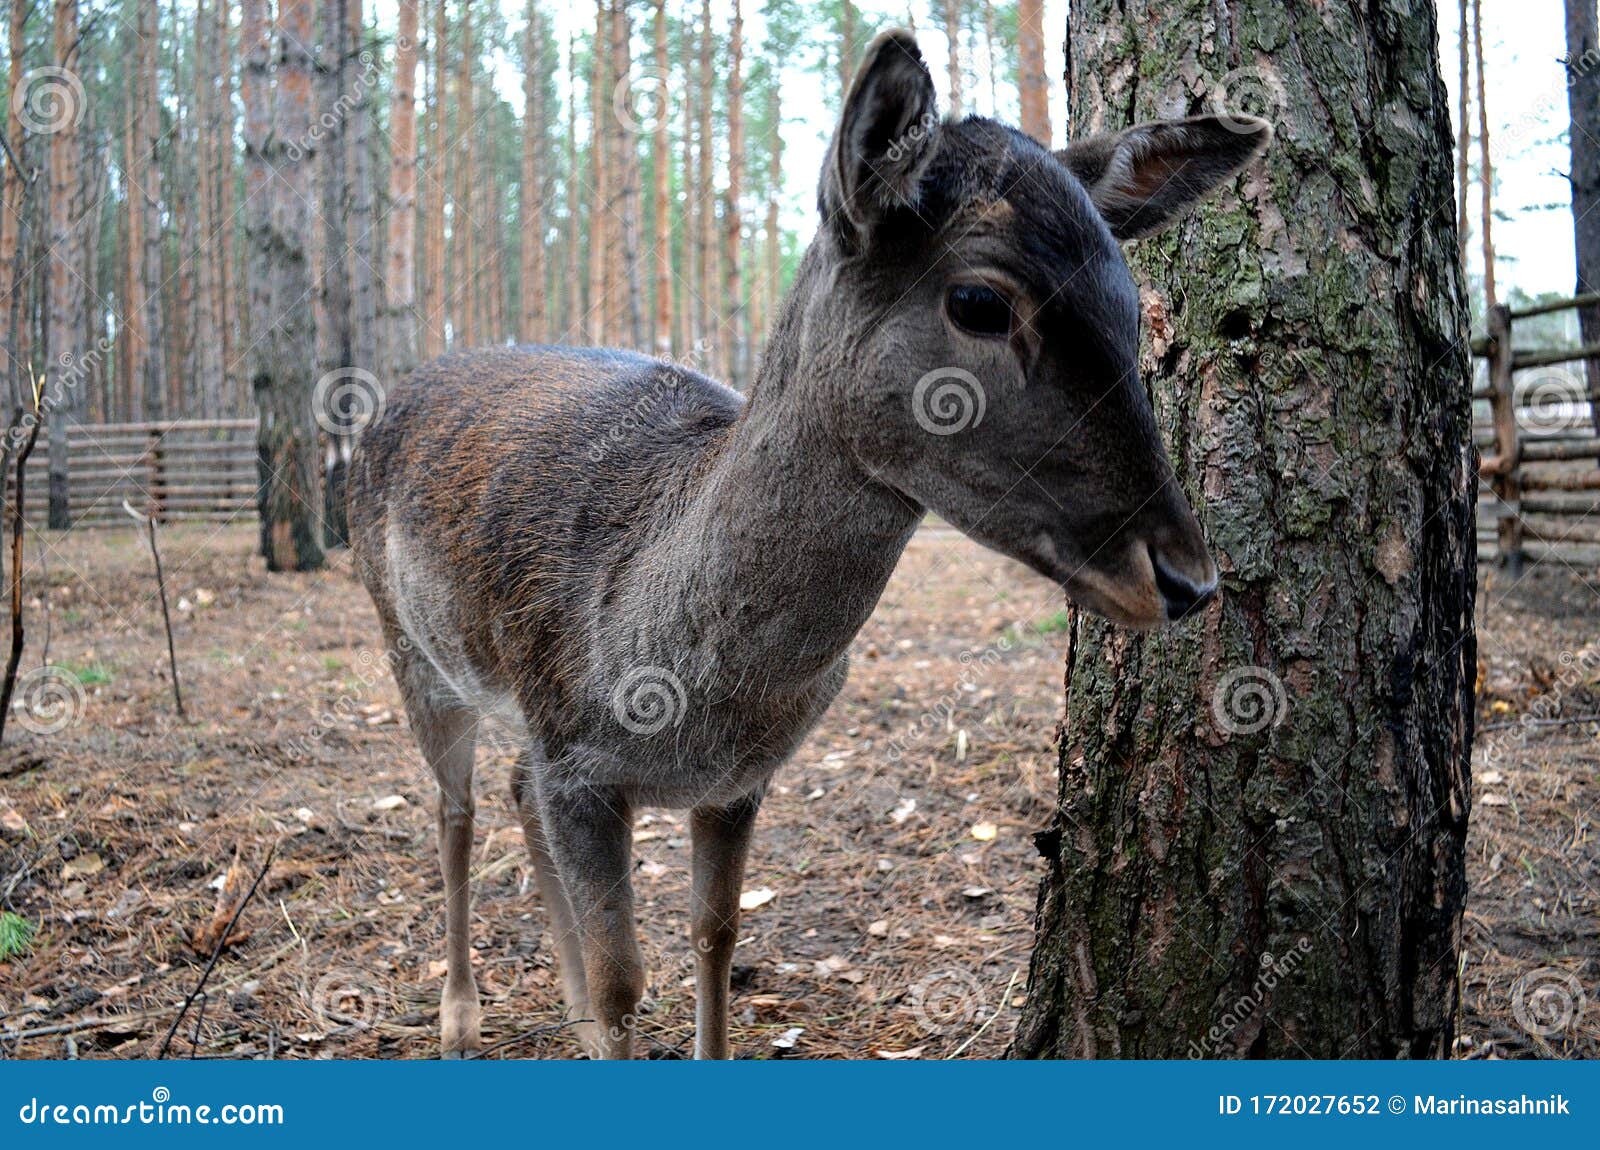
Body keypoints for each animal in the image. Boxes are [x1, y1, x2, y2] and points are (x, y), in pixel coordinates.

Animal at [347, 29, 1270, 1059]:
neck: (675, 672)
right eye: (980, 302)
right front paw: (602, 1007)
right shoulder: (578, 762)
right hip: (407, 641)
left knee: (510, 787)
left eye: (1129, 296)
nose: (1187, 576)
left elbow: (715, 936)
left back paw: (566, 1006)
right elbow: (630, 981)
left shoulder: (737, 781)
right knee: (454, 808)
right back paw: (460, 1015)